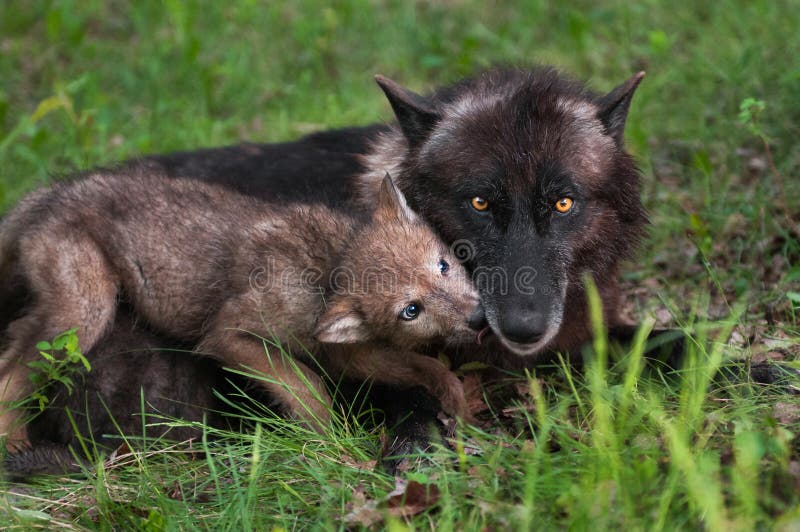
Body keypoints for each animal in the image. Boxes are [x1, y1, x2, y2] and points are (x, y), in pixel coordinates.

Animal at [0, 171, 480, 448]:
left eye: (443, 264)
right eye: (411, 309)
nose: (479, 318)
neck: (326, 267)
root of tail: (47, 196)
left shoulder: (349, 353)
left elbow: (425, 367)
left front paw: (455, 402)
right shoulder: (229, 336)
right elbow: (306, 387)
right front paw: (333, 446)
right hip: (85, 314)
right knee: (10, 373)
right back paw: (14, 444)